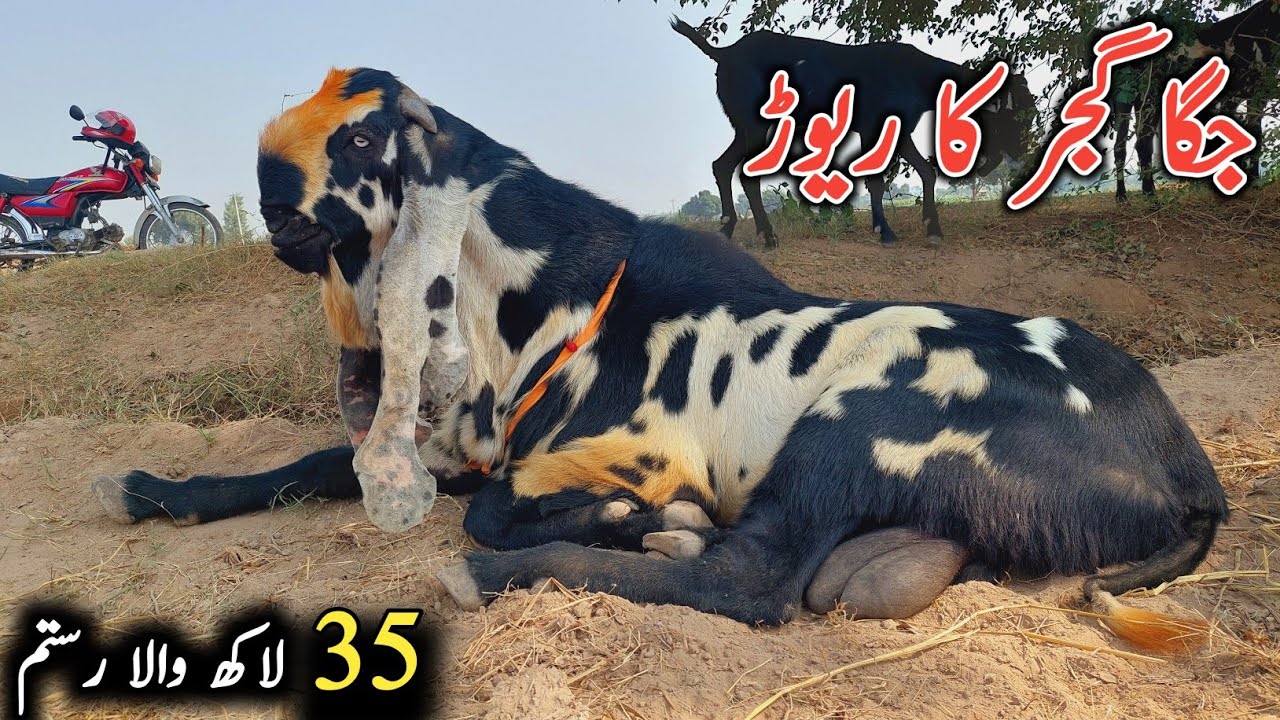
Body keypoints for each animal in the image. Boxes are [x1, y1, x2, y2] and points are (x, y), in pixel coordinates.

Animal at [94, 67, 1224, 653]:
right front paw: (156, 488)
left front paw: (621, 522)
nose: (265, 187)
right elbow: (301, 466)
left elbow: (497, 508)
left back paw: (513, 571)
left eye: (366, 139)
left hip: (858, 411)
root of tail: (1186, 465)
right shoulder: (468, 446)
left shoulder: (633, 451)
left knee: (746, 578)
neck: (547, 304)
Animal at [671, 18, 1035, 248]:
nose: (1020, 156)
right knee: (746, 173)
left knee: (722, 165)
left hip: (744, 126)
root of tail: (725, 52)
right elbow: (876, 180)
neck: (917, 75)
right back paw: (767, 236)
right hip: (756, 122)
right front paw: (885, 232)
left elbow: (926, 172)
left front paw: (932, 229)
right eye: (1013, 117)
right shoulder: (875, 126)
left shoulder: (900, 129)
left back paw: (728, 228)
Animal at [1114, 0, 1280, 200]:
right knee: (1142, 143)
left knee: (1121, 146)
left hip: (1130, 100)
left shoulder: (1254, 97)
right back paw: (1151, 196)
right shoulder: (1237, 97)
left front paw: (1253, 182)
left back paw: (1123, 197)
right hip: (1149, 98)